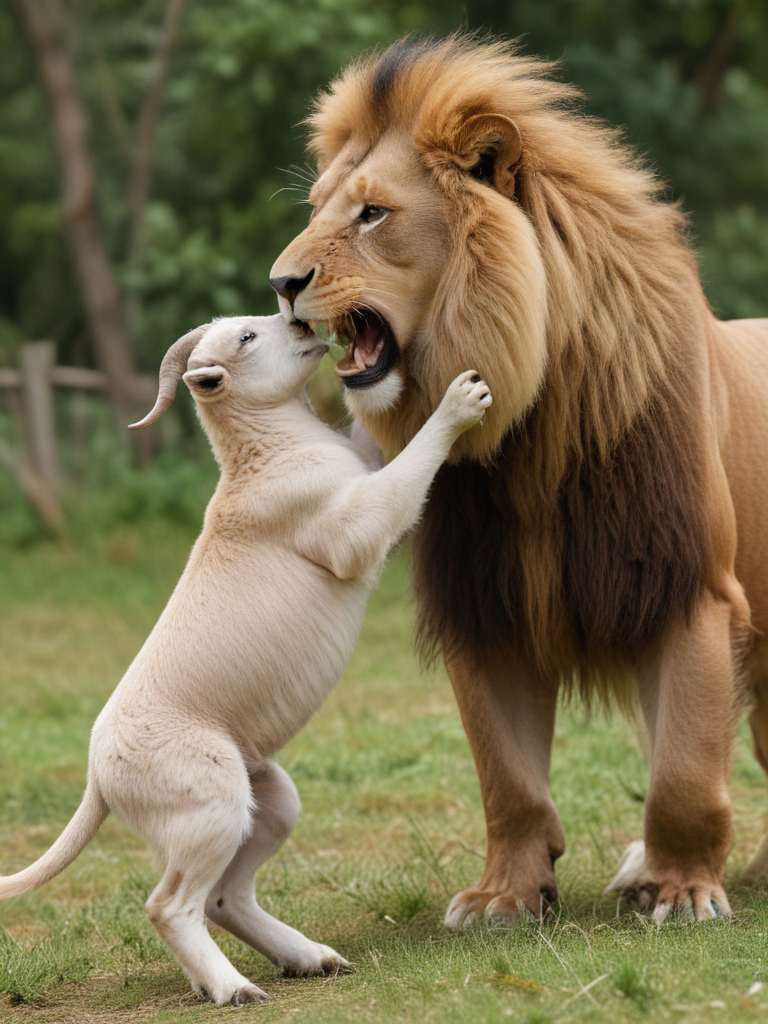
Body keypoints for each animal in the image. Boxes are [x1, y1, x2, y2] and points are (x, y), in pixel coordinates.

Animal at [270, 34, 768, 926]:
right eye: (318, 207)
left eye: (372, 214)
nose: (281, 284)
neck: (533, 432)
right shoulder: (485, 603)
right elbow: (509, 781)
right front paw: (505, 897)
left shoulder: (689, 589)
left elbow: (683, 772)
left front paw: (684, 892)